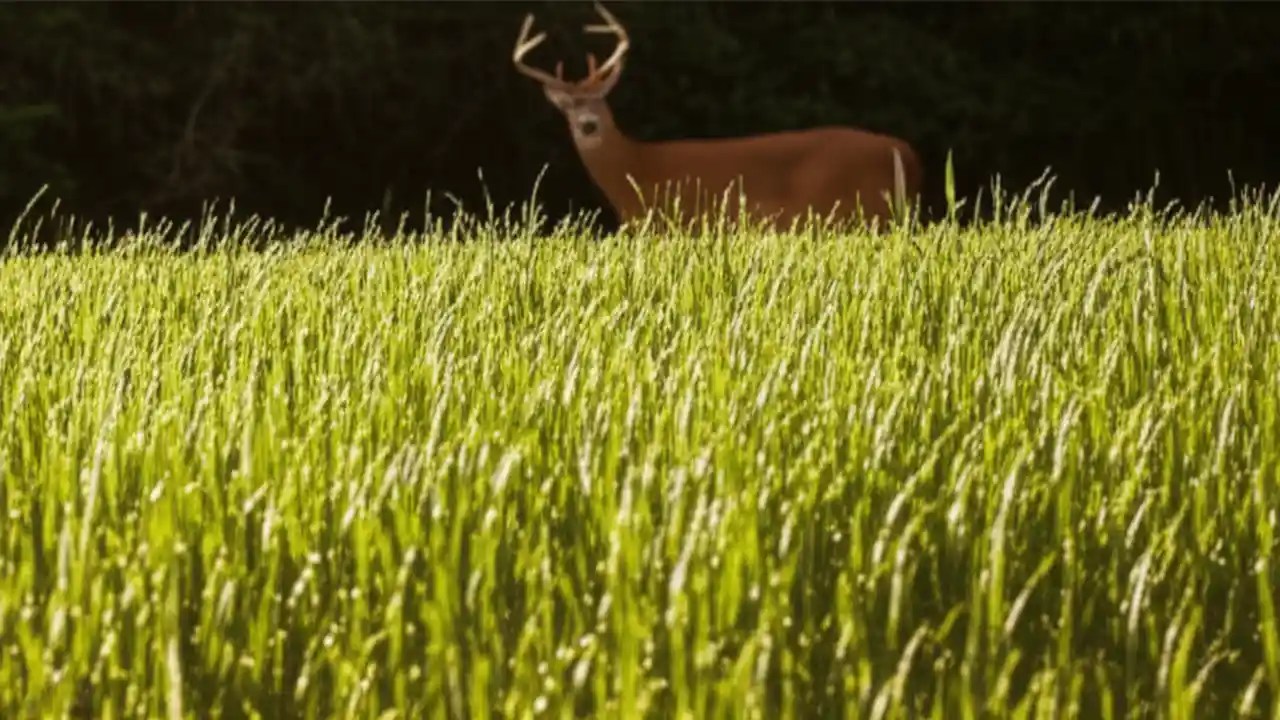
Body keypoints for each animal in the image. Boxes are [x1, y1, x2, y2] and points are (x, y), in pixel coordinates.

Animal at [512, 2, 924, 233]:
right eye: (568, 107)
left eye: (601, 100)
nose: (588, 124)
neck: (637, 170)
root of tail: (899, 149)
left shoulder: (673, 226)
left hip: (854, 213)